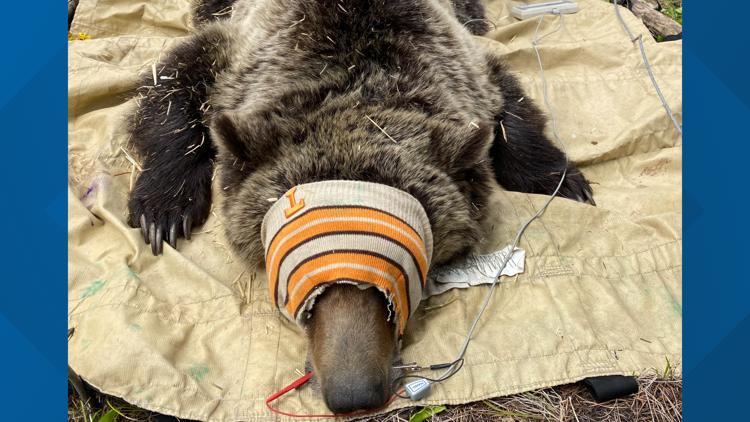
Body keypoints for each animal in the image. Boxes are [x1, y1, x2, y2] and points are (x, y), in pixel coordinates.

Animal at [126, 0, 594, 413]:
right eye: (298, 274)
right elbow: (173, 81)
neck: (354, 77)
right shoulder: (240, 53)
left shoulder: (465, 65)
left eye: (400, 272)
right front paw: (163, 210)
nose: (353, 394)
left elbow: (510, 107)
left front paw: (565, 181)